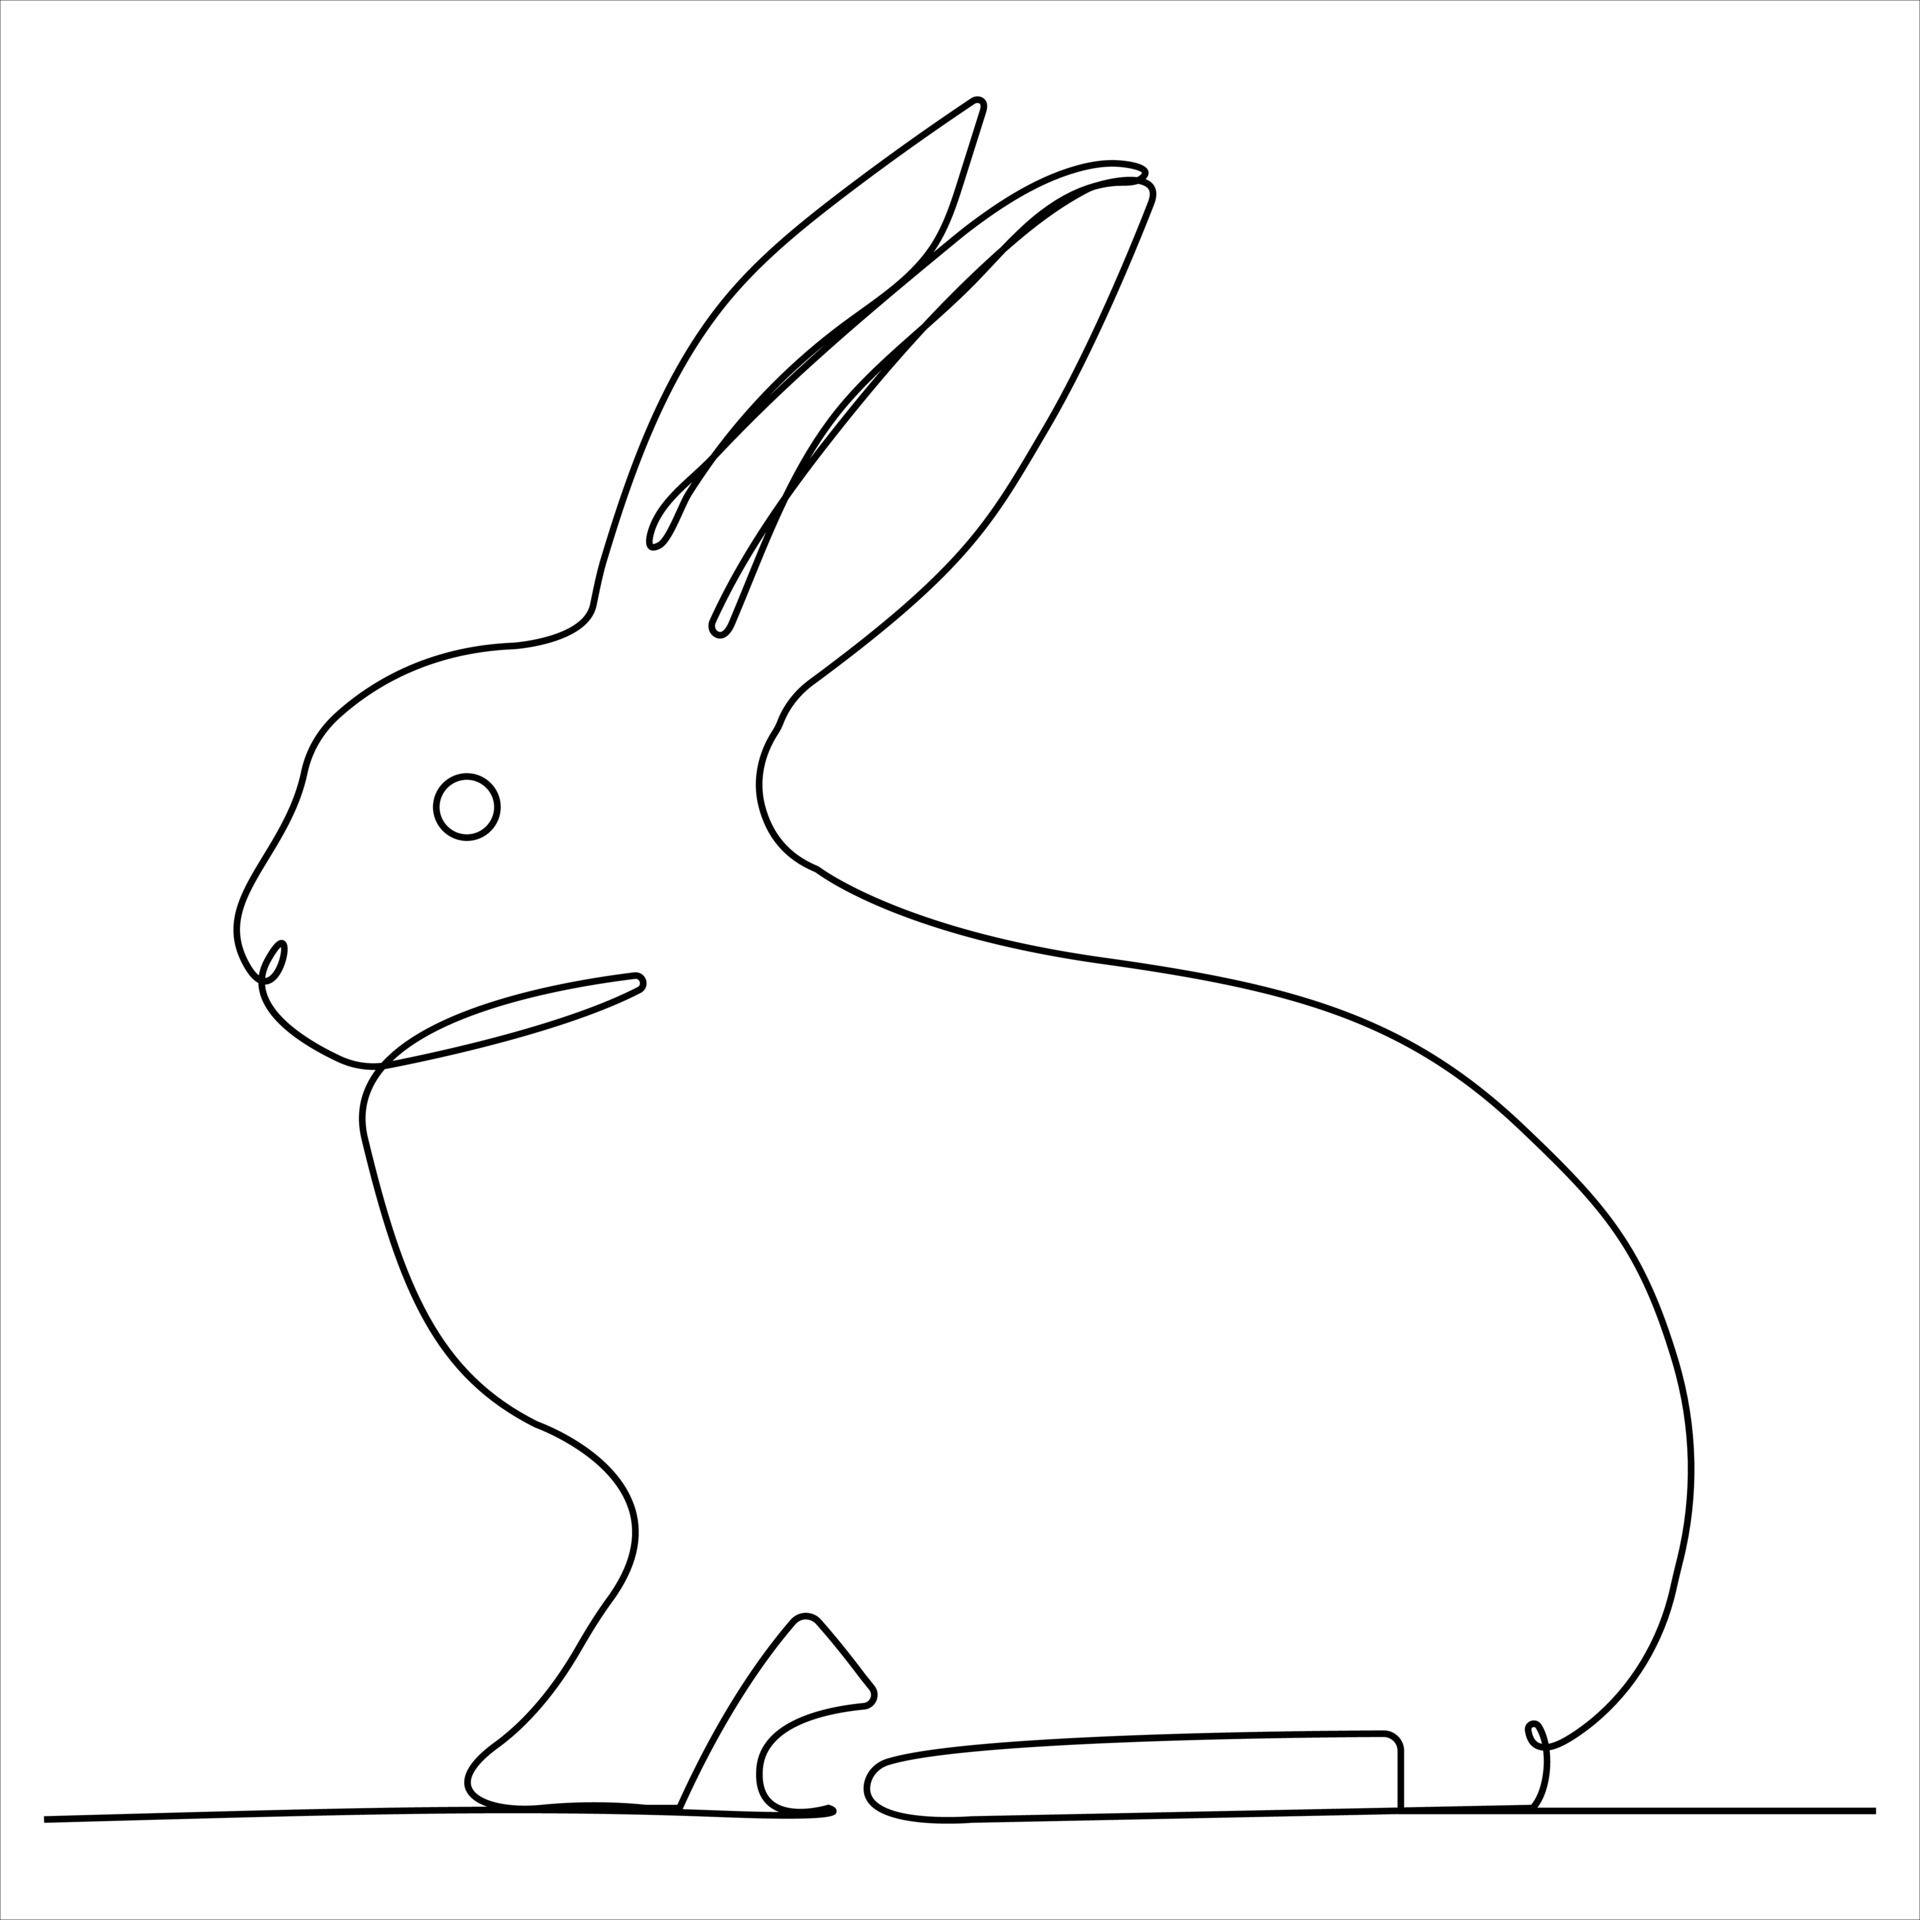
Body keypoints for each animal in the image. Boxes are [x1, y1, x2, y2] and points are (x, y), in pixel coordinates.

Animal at [233, 100, 1692, 1821]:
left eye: (469, 806)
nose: (262, 952)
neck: (652, 979)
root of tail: (1548, 1698)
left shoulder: (725, 1494)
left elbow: (659, 1632)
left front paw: (540, 1774)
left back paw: (878, 1764)